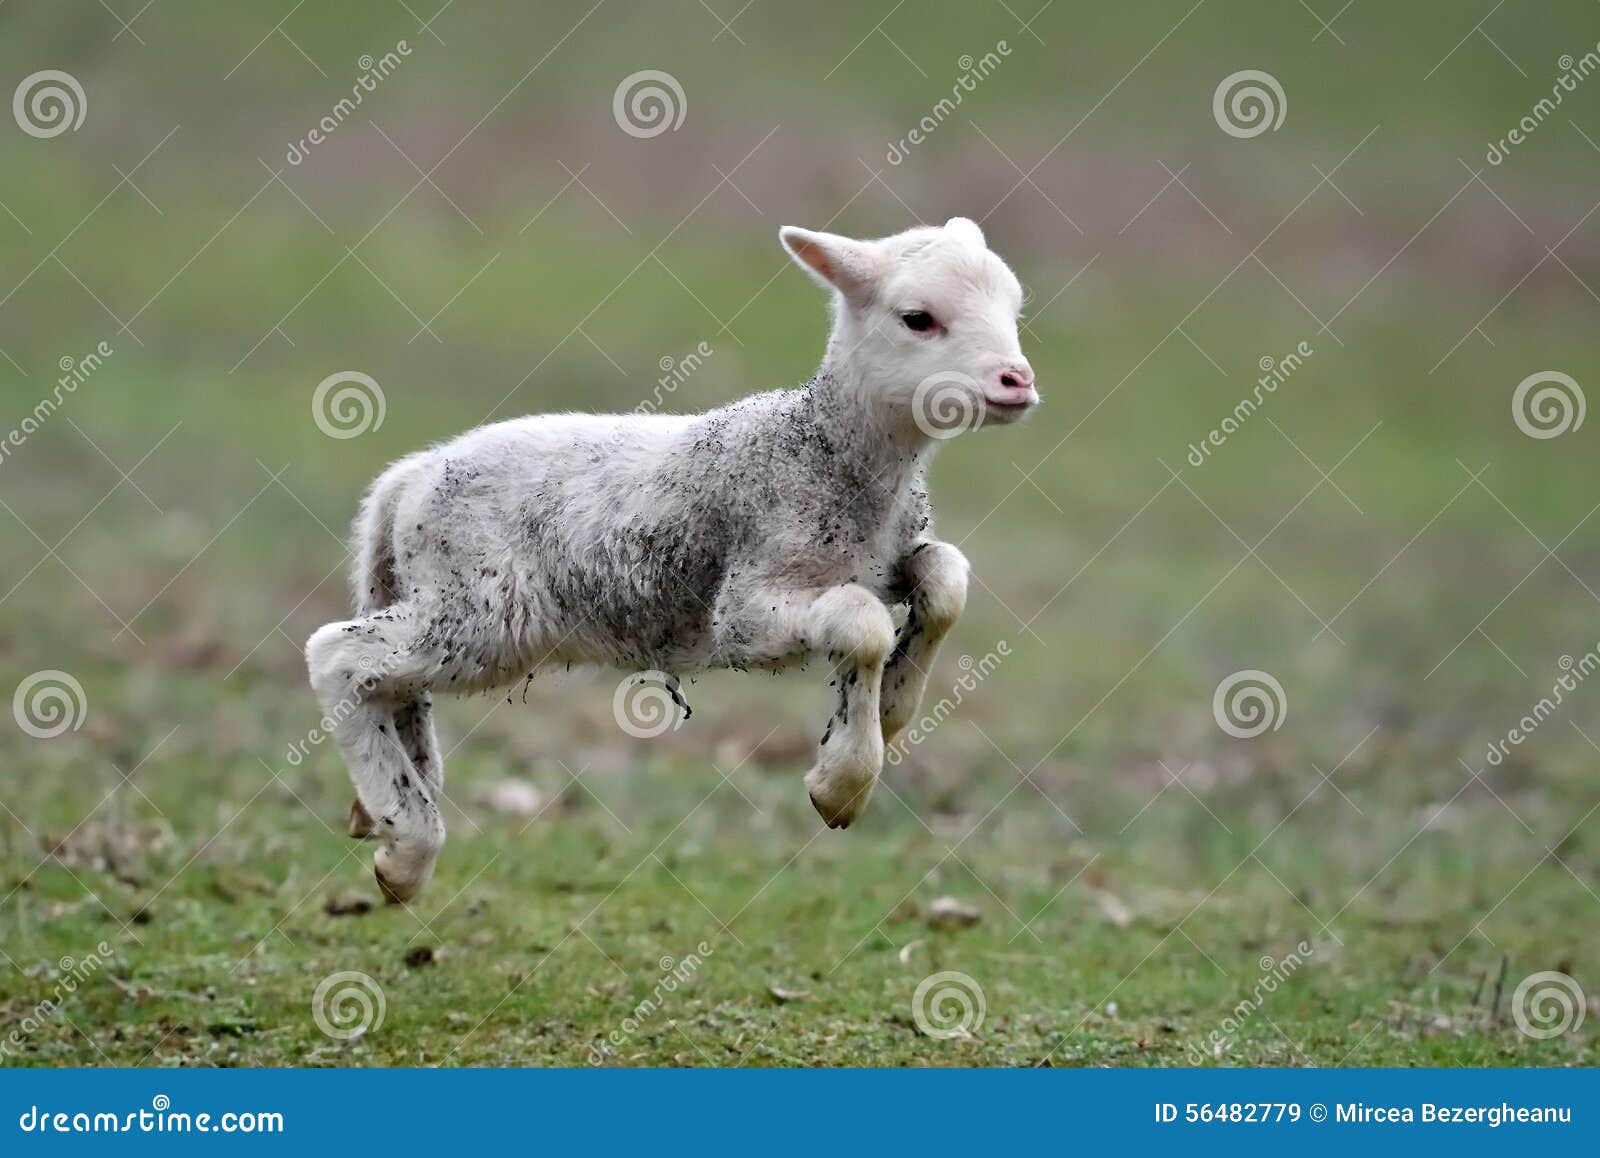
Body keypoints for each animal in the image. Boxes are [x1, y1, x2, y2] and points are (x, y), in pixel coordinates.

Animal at [305, 216, 1038, 902]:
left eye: (1014, 311)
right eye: (918, 318)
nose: (1018, 380)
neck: (825, 448)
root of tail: (409, 477)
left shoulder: (892, 555)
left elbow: (944, 581)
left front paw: (890, 707)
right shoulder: (744, 607)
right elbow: (863, 625)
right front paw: (841, 784)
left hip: (444, 601)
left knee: (392, 685)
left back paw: (379, 811)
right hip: (483, 611)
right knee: (339, 656)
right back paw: (408, 849)